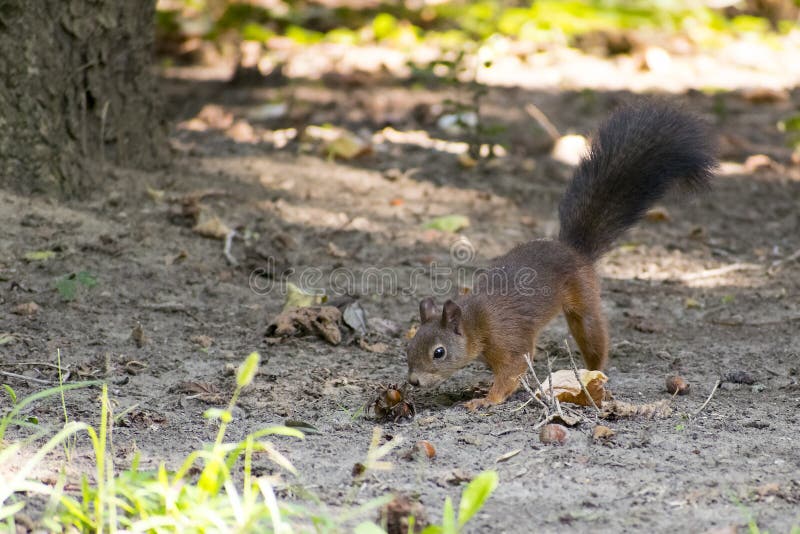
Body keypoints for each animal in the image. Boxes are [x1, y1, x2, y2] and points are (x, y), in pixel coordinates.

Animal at [406, 101, 718, 411]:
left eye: (439, 352)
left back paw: (593, 375)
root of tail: (573, 249)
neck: (474, 323)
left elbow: (512, 370)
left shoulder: (508, 340)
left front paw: (486, 400)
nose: (413, 382)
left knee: (593, 338)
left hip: (584, 305)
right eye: (409, 345)